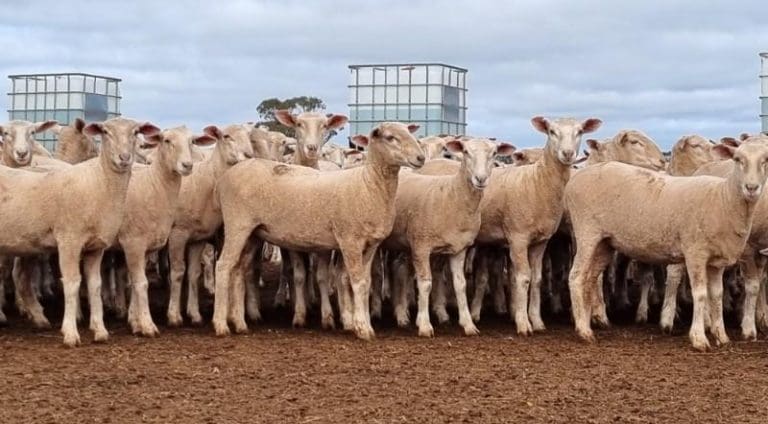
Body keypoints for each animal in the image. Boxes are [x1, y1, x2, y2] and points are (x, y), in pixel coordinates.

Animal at [0, 117, 160, 346]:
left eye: (136, 132)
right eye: (105, 132)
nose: (124, 158)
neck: (98, 183)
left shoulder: (96, 247)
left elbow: (95, 285)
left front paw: (100, 330)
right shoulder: (69, 240)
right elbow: (72, 283)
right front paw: (70, 333)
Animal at [166, 124, 254, 327]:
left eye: (249, 135)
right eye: (226, 136)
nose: (249, 155)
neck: (207, 179)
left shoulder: (199, 236)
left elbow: (193, 273)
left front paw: (194, 314)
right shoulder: (178, 233)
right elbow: (177, 272)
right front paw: (174, 316)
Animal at [212, 122, 425, 339]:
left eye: (409, 132)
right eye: (390, 137)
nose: (421, 158)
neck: (368, 185)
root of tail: (225, 178)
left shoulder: (371, 245)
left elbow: (366, 283)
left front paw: (364, 324)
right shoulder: (350, 241)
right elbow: (357, 283)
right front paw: (362, 328)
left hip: (253, 233)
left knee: (238, 269)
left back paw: (239, 323)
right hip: (237, 225)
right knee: (223, 266)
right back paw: (221, 325)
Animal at [382, 138, 515, 336]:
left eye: (494, 153)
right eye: (466, 152)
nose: (481, 179)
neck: (452, 195)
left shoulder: (459, 249)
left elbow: (460, 284)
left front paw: (468, 324)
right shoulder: (421, 246)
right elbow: (425, 284)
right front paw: (424, 325)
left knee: (401, 268)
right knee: (400, 270)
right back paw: (401, 314)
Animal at [564, 141, 768, 350]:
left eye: (766, 160)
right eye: (737, 159)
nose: (751, 188)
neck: (723, 199)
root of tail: (575, 180)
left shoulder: (716, 260)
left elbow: (716, 295)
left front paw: (721, 336)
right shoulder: (695, 253)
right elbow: (700, 294)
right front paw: (699, 338)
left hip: (605, 243)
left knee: (590, 279)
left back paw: (592, 320)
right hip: (586, 232)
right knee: (576, 276)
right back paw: (583, 330)